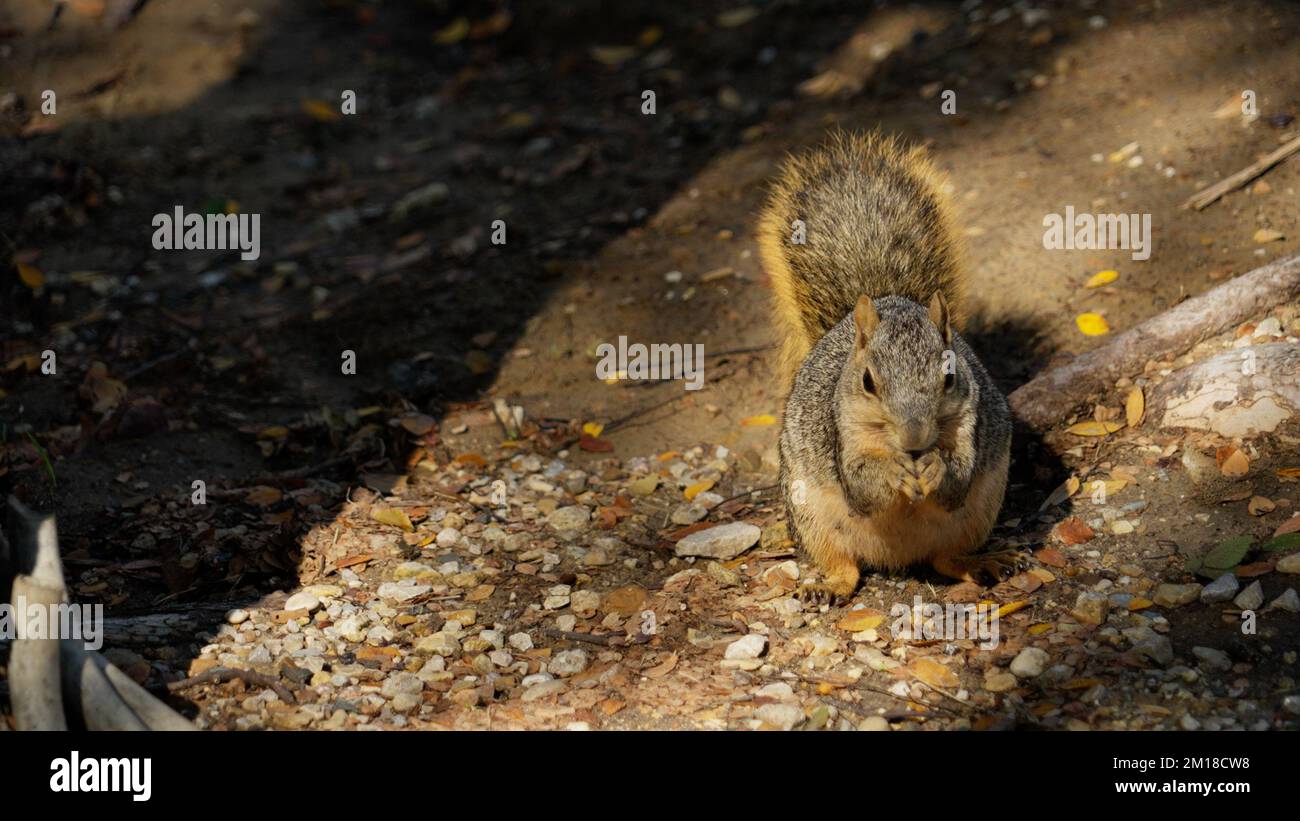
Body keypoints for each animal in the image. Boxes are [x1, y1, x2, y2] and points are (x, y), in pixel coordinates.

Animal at [758, 131, 1019, 603]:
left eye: (949, 376)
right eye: (867, 382)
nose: (915, 441)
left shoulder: (970, 422)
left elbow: (957, 478)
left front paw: (935, 467)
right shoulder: (840, 431)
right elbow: (862, 488)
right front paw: (893, 470)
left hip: (980, 511)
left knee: (948, 559)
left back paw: (981, 562)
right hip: (810, 515)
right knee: (843, 564)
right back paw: (829, 586)